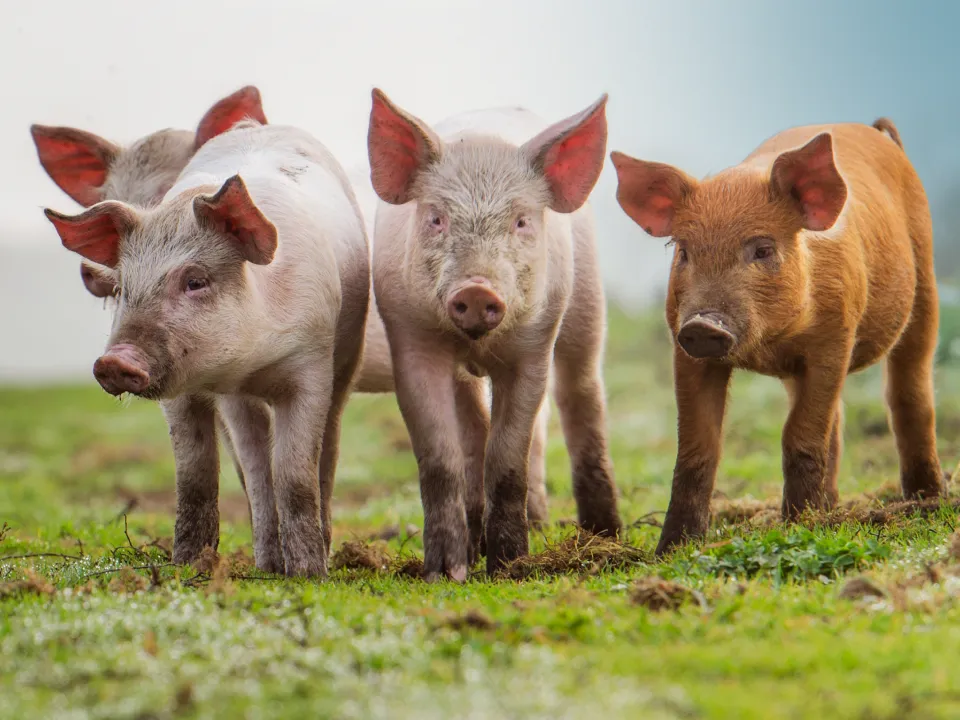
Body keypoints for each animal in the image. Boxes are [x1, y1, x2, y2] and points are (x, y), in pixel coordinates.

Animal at [44, 122, 370, 577]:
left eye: (195, 281)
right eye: (123, 288)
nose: (114, 360)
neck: (257, 360)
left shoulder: (312, 363)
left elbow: (294, 474)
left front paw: (311, 576)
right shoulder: (205, 394)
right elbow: (197, 475)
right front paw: (187, 567)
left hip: (347, 358)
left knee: (326, 451)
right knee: (255, 467)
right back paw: (268, 565)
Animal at [368, 89, 623, 580]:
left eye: (521, 222)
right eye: (436, 218)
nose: (476, 289)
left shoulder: (534, 346)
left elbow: (508, 456)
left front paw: (509, 567)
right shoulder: (410, 339)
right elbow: (440, 458)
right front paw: (446, 572)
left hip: (586, 301)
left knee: (580, 395)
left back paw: (604, 534)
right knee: (475, 429)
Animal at [610, 118, 943, 556]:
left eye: (763, 250)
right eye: (683, 252)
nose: (703, 325)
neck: (767, 346)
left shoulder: (835, 339)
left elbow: (800, 437)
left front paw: (798, 530)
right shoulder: (685, 349)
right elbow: (697, 448)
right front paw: (671, 549)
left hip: (924, 281)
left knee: (909, 394)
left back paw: (926, 502)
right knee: (836, 423)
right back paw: (831, 510)